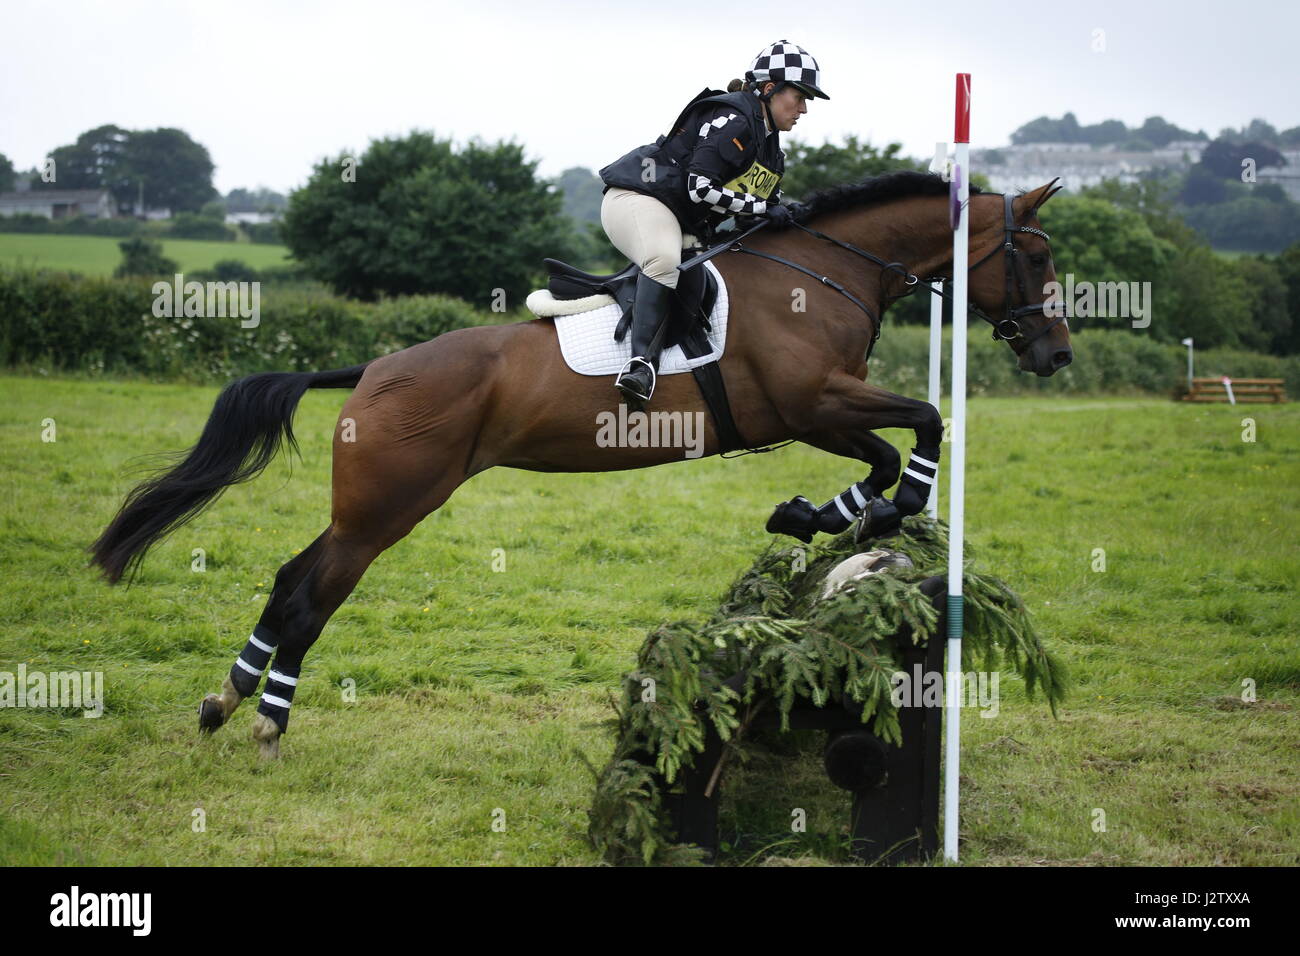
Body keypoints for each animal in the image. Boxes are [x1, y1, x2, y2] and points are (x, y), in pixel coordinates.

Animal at [90, 171, 1071, 758]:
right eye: (1036, 254)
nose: (1056, 354)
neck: (821, 274)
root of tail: (369, 369)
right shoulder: (812, 404)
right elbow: (920, 428)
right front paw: (876, 509)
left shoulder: (819, 413)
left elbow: (894, 446)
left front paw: (818, 515)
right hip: (386, 509)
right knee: (311, 593)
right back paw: (264, 720)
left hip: (368, 510)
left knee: (293, 575)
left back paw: (225, 700)